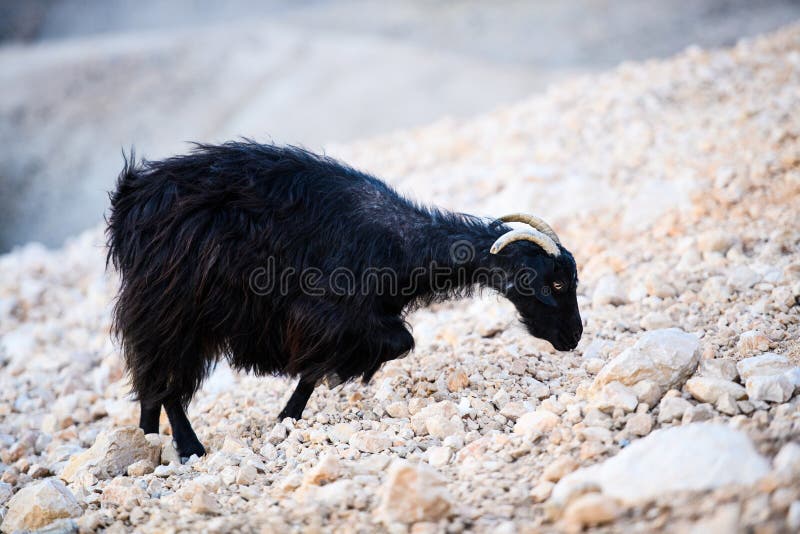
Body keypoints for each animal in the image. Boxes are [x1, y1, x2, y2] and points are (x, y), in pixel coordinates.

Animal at [107, 141, 582, 459]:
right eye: (556, 284)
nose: (575, 337)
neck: (400, 243)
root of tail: (132, 199)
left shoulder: (354, 318)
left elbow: (341, 362)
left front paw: (296, 410)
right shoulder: (327, 313)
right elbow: (390, 345)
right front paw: (325, 389)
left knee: (152, 380)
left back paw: (144, 439)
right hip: (172, 311)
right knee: (167, 380)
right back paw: (189, 448)